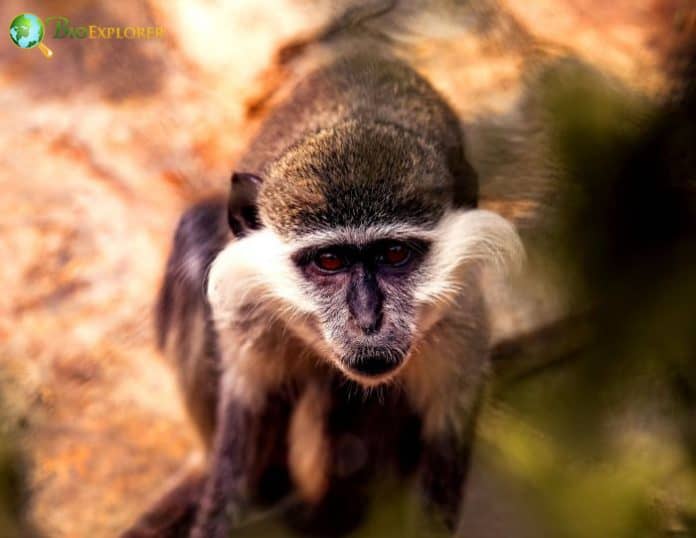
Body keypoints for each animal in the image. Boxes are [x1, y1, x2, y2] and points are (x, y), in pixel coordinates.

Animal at [122, 52, 524, 538]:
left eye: (394, 254)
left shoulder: (457, 319)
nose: (368, 319)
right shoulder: (247, 308)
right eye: (329, 261)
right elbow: (242, 431)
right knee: (197, 236)